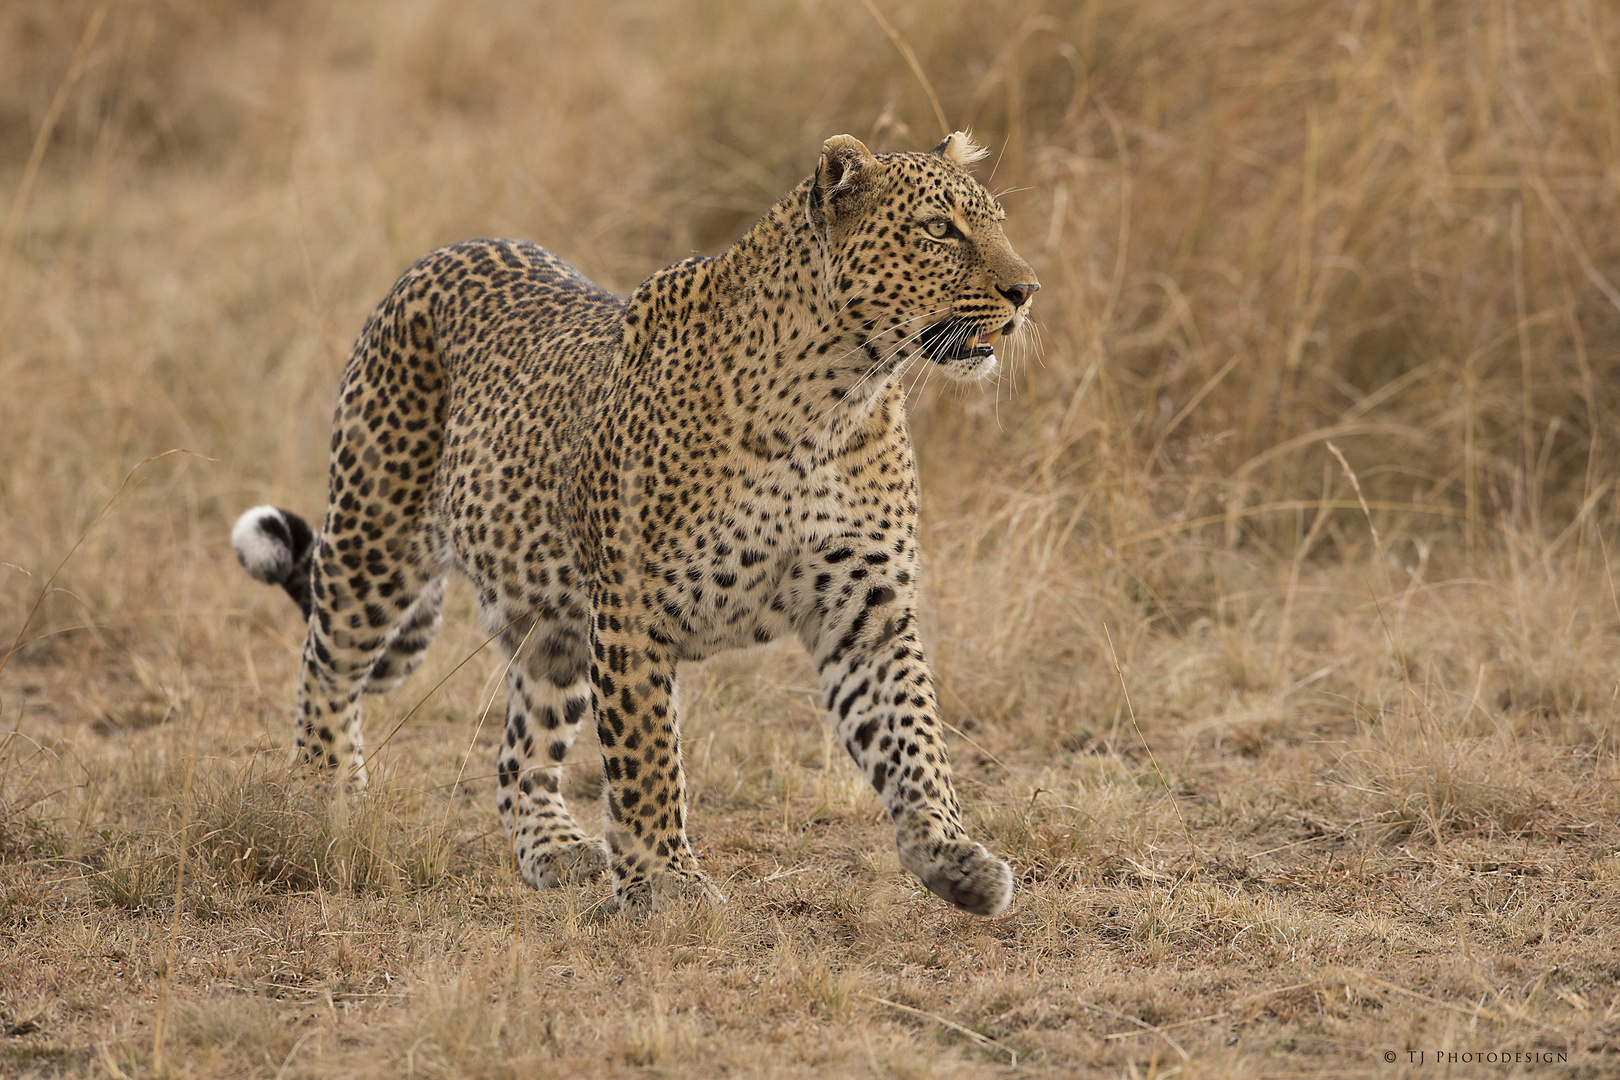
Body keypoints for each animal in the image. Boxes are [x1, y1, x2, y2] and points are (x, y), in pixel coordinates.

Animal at [232, 131, 1039, 916]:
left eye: (998, 222)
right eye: (938, 230)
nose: (1026, 290)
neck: (837, 397)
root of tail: (444, 252)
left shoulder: (865, 608)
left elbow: (913, 736)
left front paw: (951, 857)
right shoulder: (630, 607)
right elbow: (649, 758)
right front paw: (666, 884)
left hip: (551, 619)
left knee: (519, 749)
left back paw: (554, 847)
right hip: (375, 538)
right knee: (327, 663)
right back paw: (321, 799)